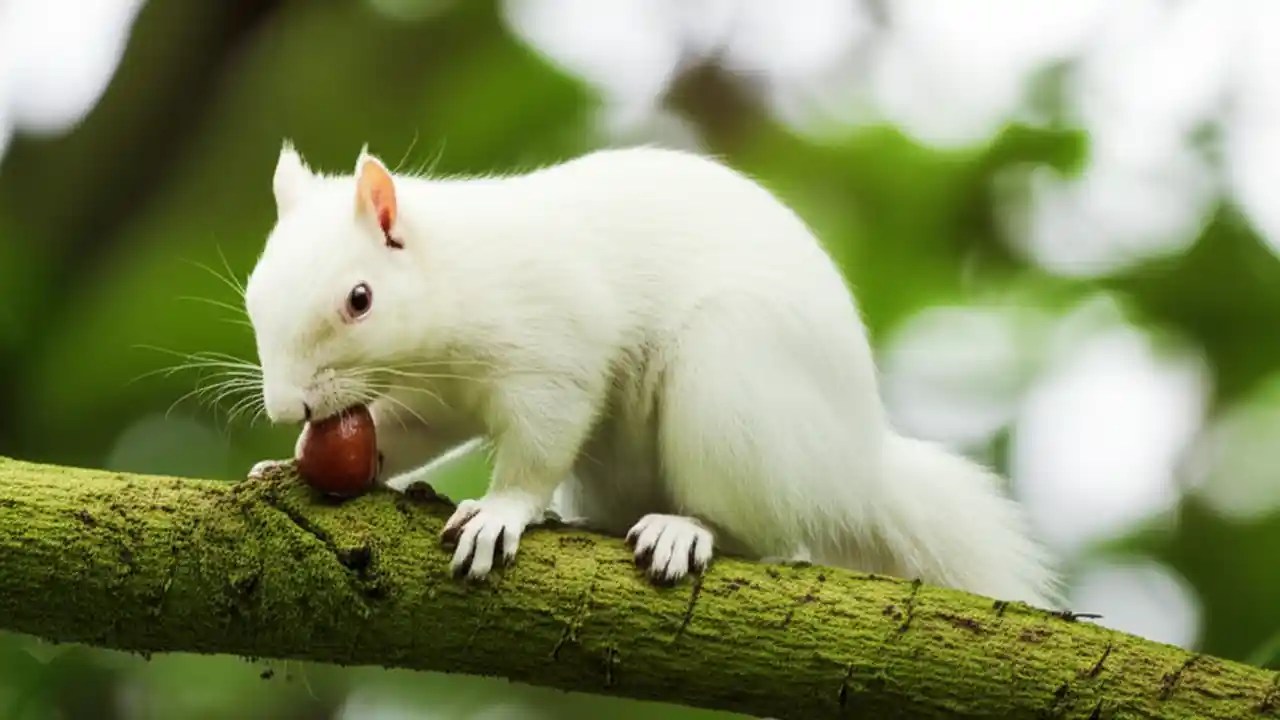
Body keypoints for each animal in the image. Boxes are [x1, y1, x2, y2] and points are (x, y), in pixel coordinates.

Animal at [244, 141, 1057, 607]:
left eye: (360, 299)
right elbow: (413, 429)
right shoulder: (435, 393)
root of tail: (853, 467)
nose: (288, 409)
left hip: (730, 388)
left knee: (755, 531)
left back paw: (683, 530)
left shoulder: (555, 350)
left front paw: (501, 512)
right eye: (253, 291)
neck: (454, 281)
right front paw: (300, 462)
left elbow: (539, 445)